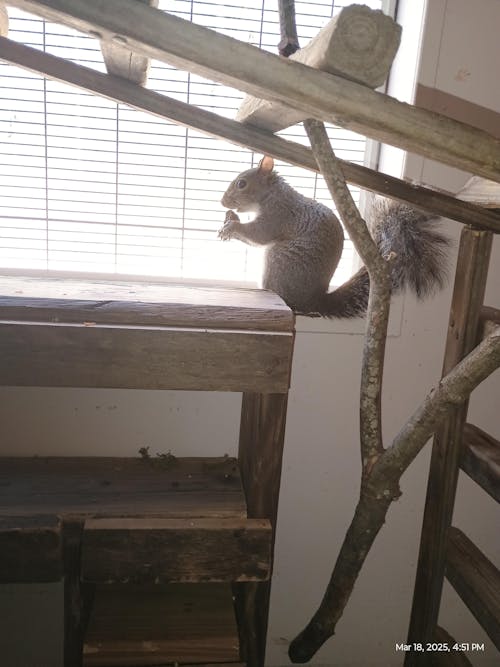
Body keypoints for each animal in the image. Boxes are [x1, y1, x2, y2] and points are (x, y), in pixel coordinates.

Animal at [218, 155, 450, 317]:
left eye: (241, 183)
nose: (222, 202)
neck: (271, 194)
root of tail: (315, 302)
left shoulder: (278, 214)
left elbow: (259, 234)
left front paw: (232, 226)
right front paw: (230, 217)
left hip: (278, 259)